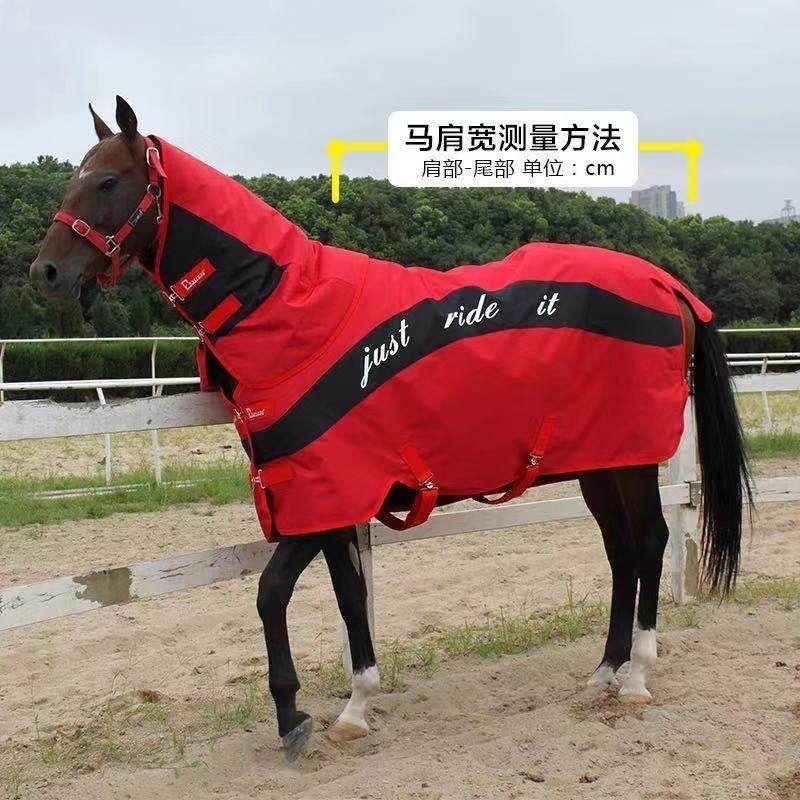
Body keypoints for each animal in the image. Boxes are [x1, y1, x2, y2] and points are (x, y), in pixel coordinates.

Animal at [30, 97, 752, 761]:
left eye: (107, 182)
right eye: (73, 177)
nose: (45, 272)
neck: (294, 310)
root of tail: (666, 284)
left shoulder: (323, 493)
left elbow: (270, 594)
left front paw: (292, 717)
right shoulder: (329, 500)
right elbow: (349, 597)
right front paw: (354, 707)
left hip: (631, 460)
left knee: (652, 542)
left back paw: (636, 675)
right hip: (600, 461)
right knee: (622, 551)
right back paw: (604, 669)